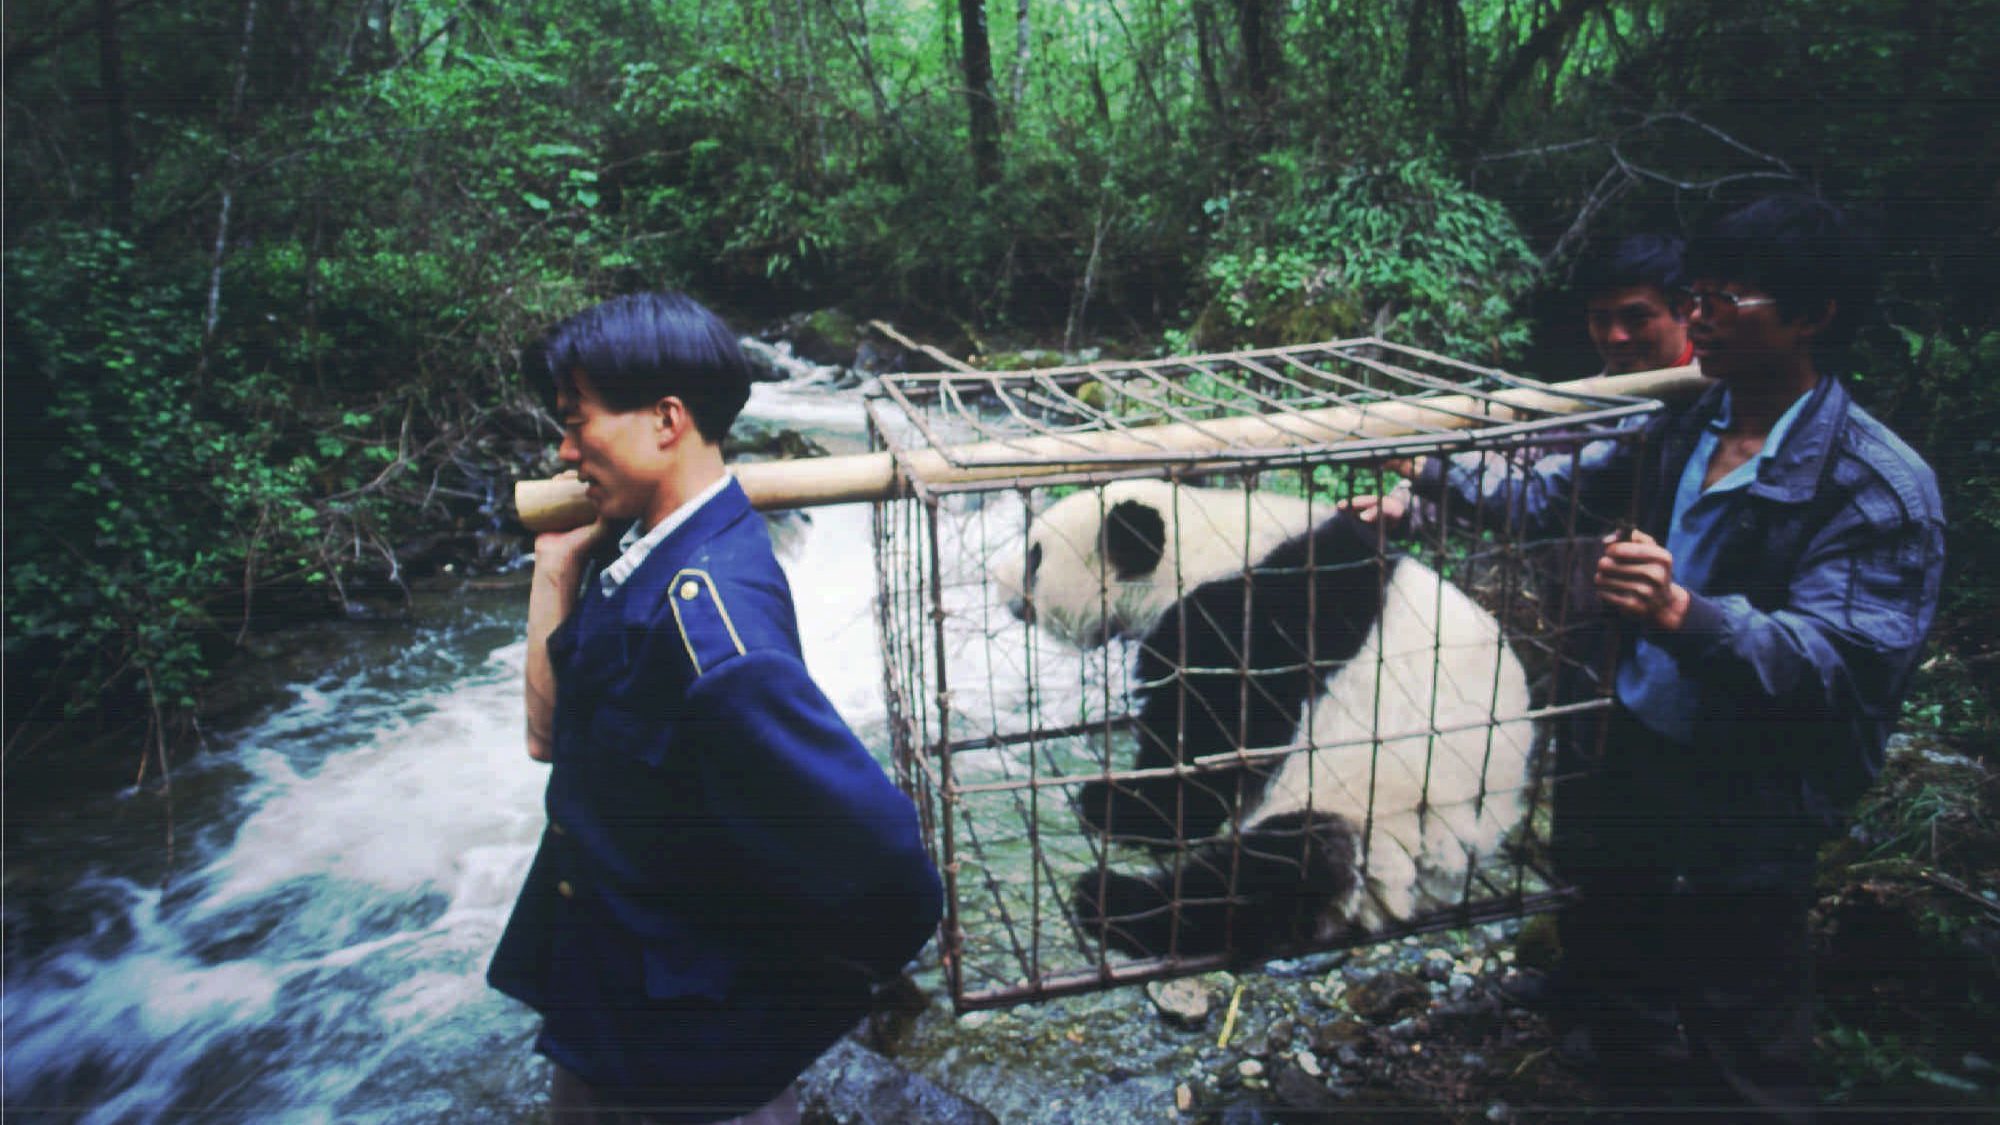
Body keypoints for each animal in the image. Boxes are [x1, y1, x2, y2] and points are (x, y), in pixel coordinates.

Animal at [991, 478, 1534, 959]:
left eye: (1035, 557)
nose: (997, 582)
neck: (1208, 547)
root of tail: (1440, 876)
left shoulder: (1255, 624)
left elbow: (1211, 744)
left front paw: (1115, 805)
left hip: (1371, 806)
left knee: (1271, 877)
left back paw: (1118, 903)